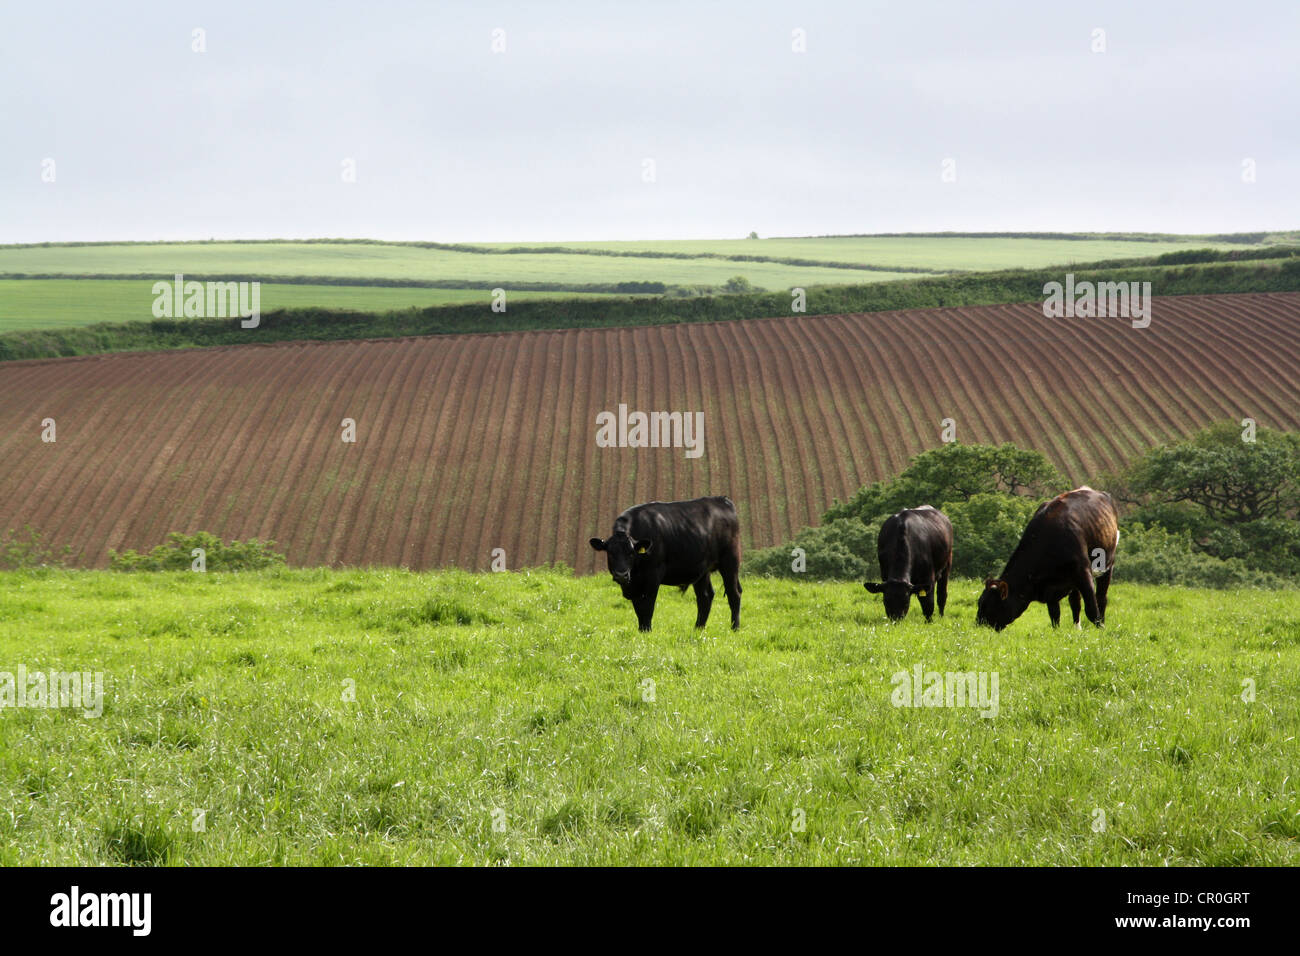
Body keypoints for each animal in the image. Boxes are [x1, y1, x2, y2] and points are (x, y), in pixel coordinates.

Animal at [589, 496, 742, 632]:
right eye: (610, 553)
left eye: (631, 553)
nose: (621, 575)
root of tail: (723, 500)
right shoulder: (634, 584)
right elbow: (639, 608)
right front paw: (641, 630)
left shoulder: (653, 576)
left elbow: (648, 606)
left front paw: (647, 631)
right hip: (702, 570)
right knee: (705, 596)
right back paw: (698, 629)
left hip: (730, 561)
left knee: (734, 593)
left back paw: (735, 628)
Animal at [976, 486, 1119, 632]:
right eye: (980, 603)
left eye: (991, 605)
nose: (978, 627)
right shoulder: (1051, 587)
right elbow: (1055, 614)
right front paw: (1056, 632)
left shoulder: (1083, 572)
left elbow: (1091, 609)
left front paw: (1100, 629)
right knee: (1075, 602)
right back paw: (1077, 628)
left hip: (1107, 564)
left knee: (1101, 598)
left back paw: (1101, 623)